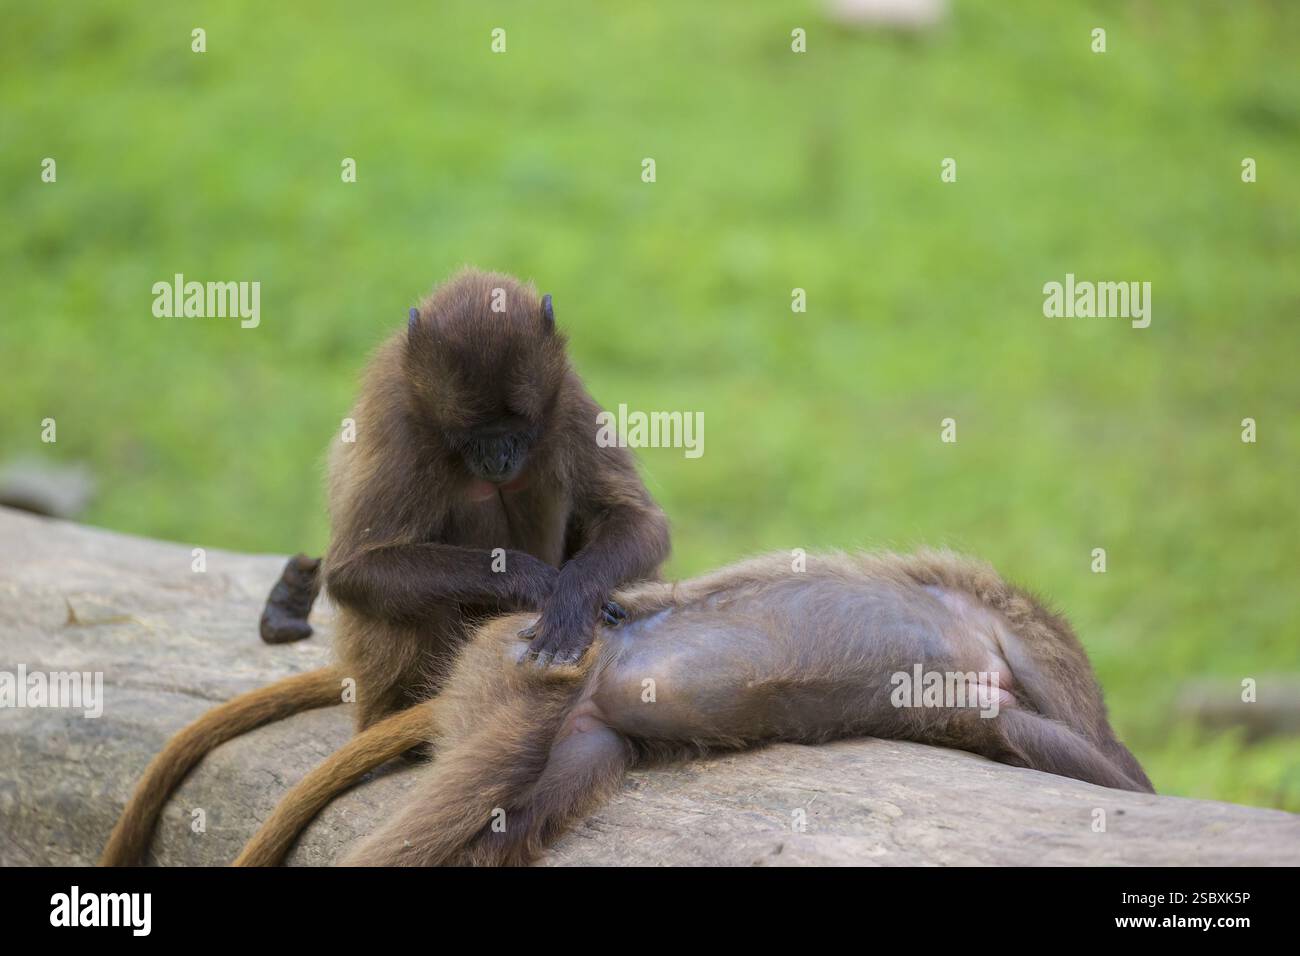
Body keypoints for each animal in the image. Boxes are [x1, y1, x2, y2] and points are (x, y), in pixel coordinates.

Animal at [100, 268, 671, 866]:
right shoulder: (403, 422)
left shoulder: (564, 398)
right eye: (475, 436)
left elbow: (637, 519)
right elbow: (354, 571)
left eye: (514, 429)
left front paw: (571, 600)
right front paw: (535, 583)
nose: (498, 459)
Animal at [230, 549, 1152, 867]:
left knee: (528, 804)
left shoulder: (1000, 685)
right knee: (490, 767)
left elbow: (1026, 734)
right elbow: (1096, 757)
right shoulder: (1021, 646)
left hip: (578, 729)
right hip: (523, 671)